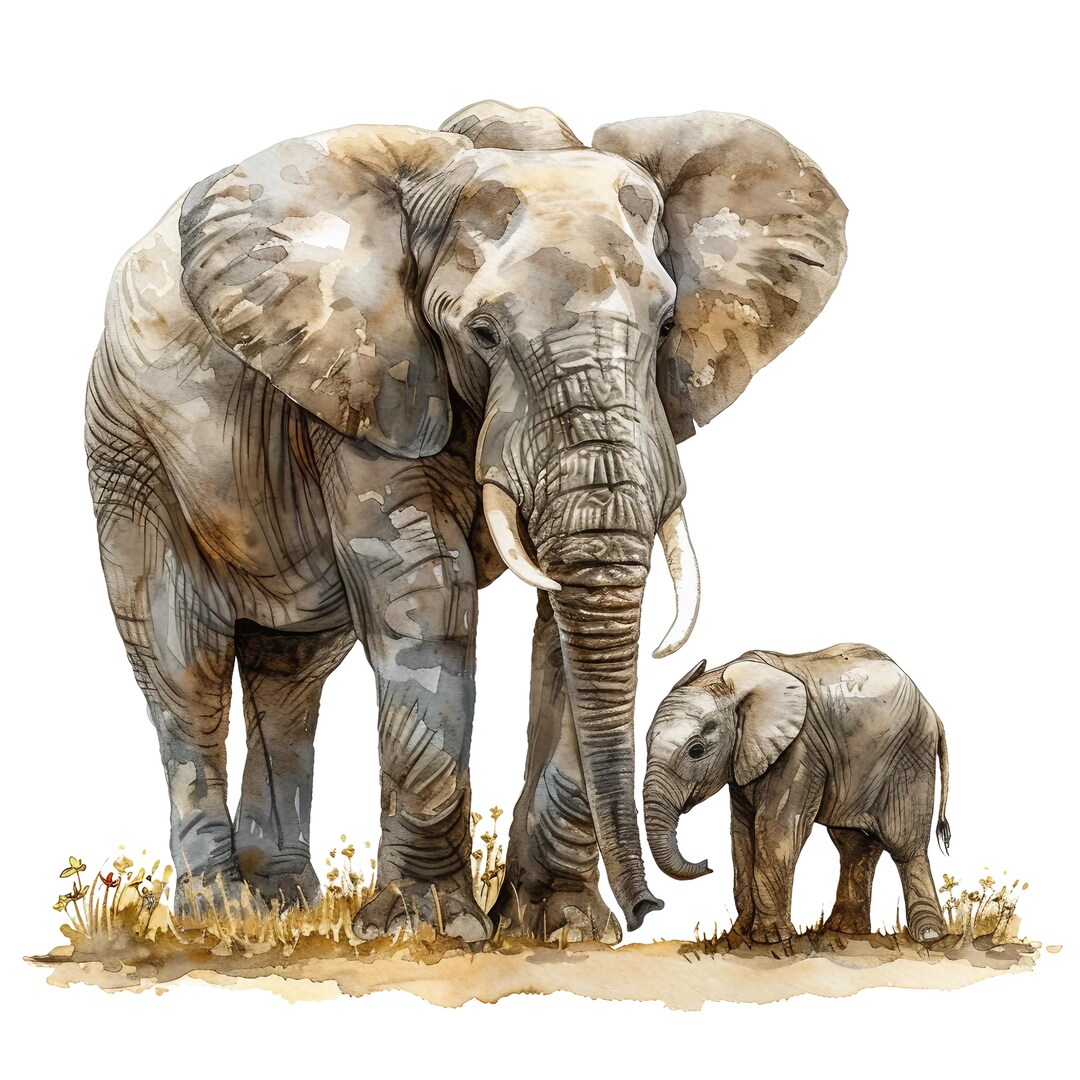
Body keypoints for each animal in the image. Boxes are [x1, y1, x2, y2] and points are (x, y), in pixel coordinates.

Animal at [84, 99, 846, 942]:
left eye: (667, 322)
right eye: (481, 334)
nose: (651, 909)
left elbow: (561, 626)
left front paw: (560, 928)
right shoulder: (369, 381)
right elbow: (426, 596)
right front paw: (429, 930)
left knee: (292, 675)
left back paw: (283, 902)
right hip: (129, 455)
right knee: (185, 664)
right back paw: (218, 913)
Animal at [643, 644, 952, 943]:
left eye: (696, 751)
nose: (707, 864)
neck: (729, 682)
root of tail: (932, 710)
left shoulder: (799, 750)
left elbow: (777, 829)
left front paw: (770, 939)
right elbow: (742, 836)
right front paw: (737, 937)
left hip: (909, 754)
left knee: (903, 843)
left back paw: (928, 935)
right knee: (854, 845)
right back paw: (844, 931)